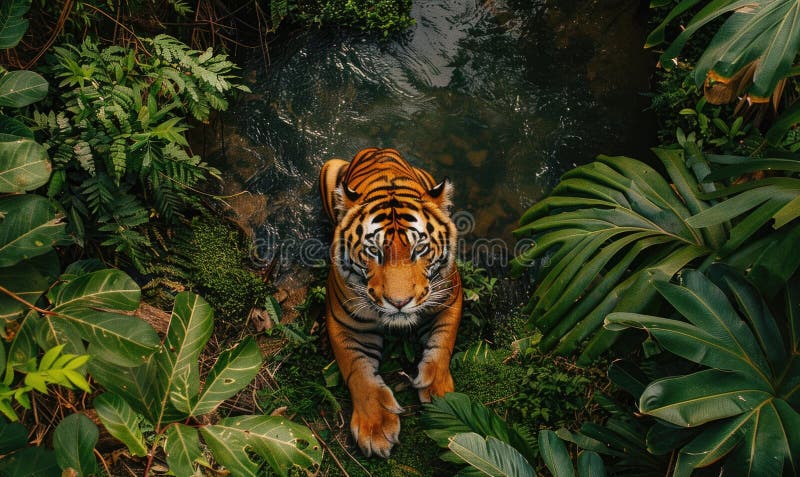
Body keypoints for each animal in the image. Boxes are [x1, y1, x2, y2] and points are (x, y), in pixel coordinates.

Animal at [319, 147, 463, 458]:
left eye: (419, 248)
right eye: (374, 251)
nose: (399, 302)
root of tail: (377, 149)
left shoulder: (450, 298)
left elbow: (443, 344)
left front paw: (442, 397)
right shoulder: (343, 322)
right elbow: (358, 371)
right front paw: (376, 429)